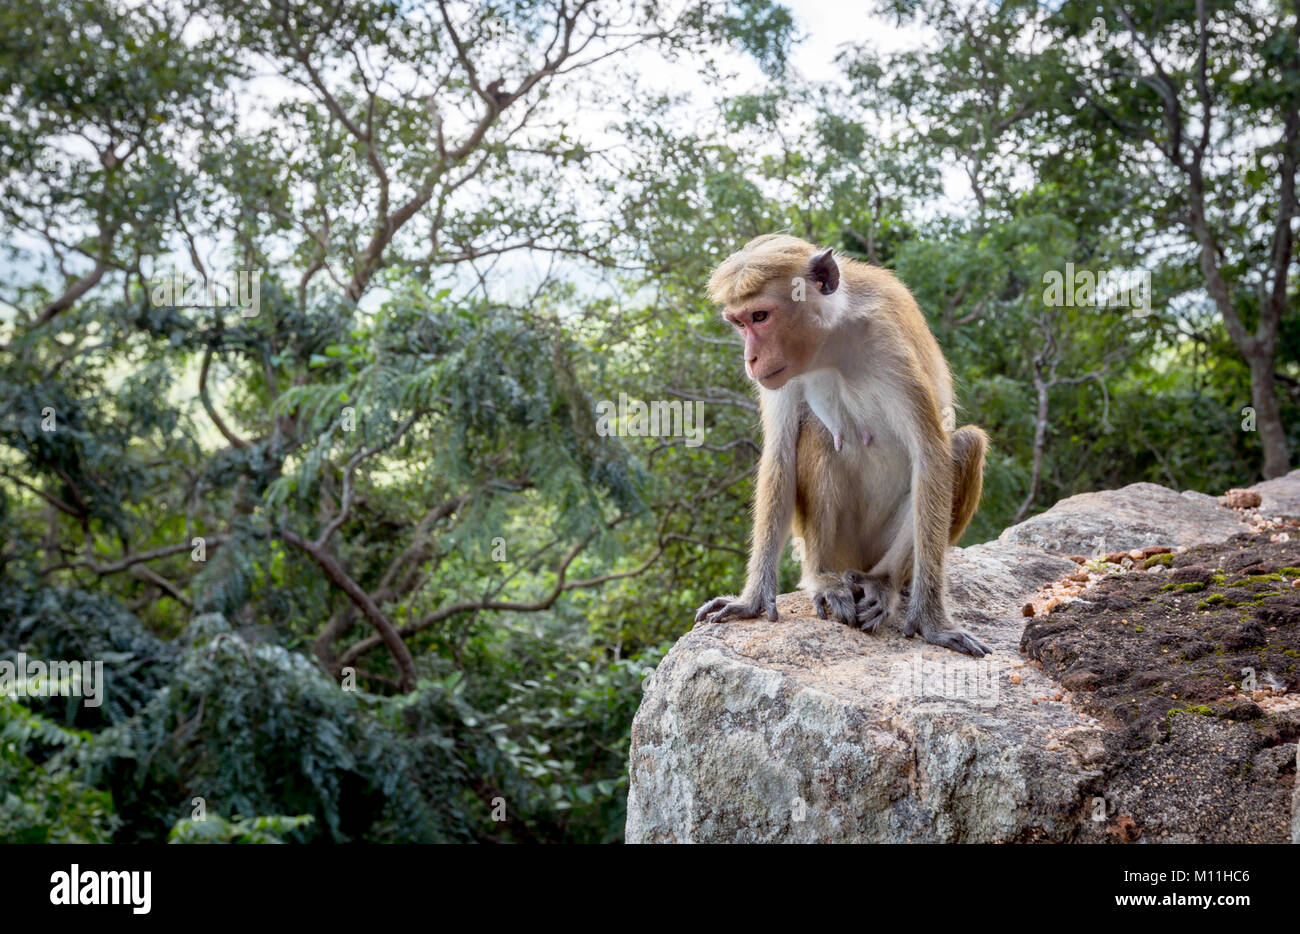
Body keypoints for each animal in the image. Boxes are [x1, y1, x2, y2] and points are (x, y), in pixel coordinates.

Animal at [694, 234, 991, 657]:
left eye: (761, 316)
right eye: (739, 322)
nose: (751, 359)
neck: (833, 339)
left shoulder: (888, 336)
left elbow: (931, 453)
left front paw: (932, 622)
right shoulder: (781, 376)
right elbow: (781, 454)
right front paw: (751, 600)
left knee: (965, 444)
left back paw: (882, 583)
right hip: (838, 547)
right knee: (817, 434)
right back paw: (824, 579)